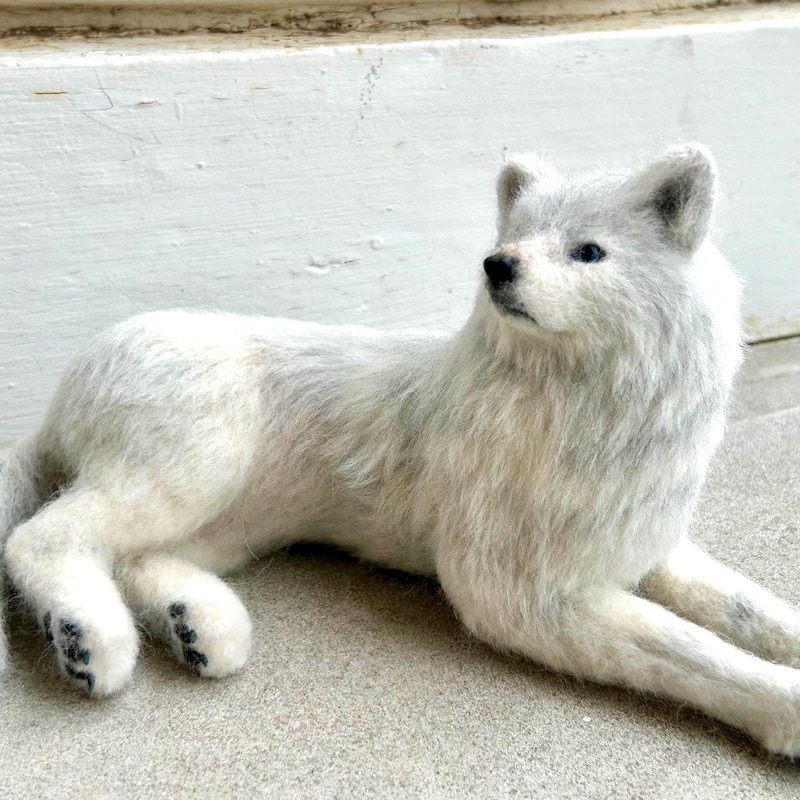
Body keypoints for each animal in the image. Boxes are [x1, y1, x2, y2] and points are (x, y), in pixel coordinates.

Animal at [2, 144, 800, 756]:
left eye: (589, 252)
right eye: (519, 236)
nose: (497, 263)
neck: (578, 409)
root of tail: (67, 386)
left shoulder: (646, 549)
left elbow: (748, 610)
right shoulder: (518, 597)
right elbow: (690, 650)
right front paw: (783, 707)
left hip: (227, 518)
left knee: (132, 557)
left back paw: (194, 627)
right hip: (195, 466)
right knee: (42, 536)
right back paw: (86, 640)